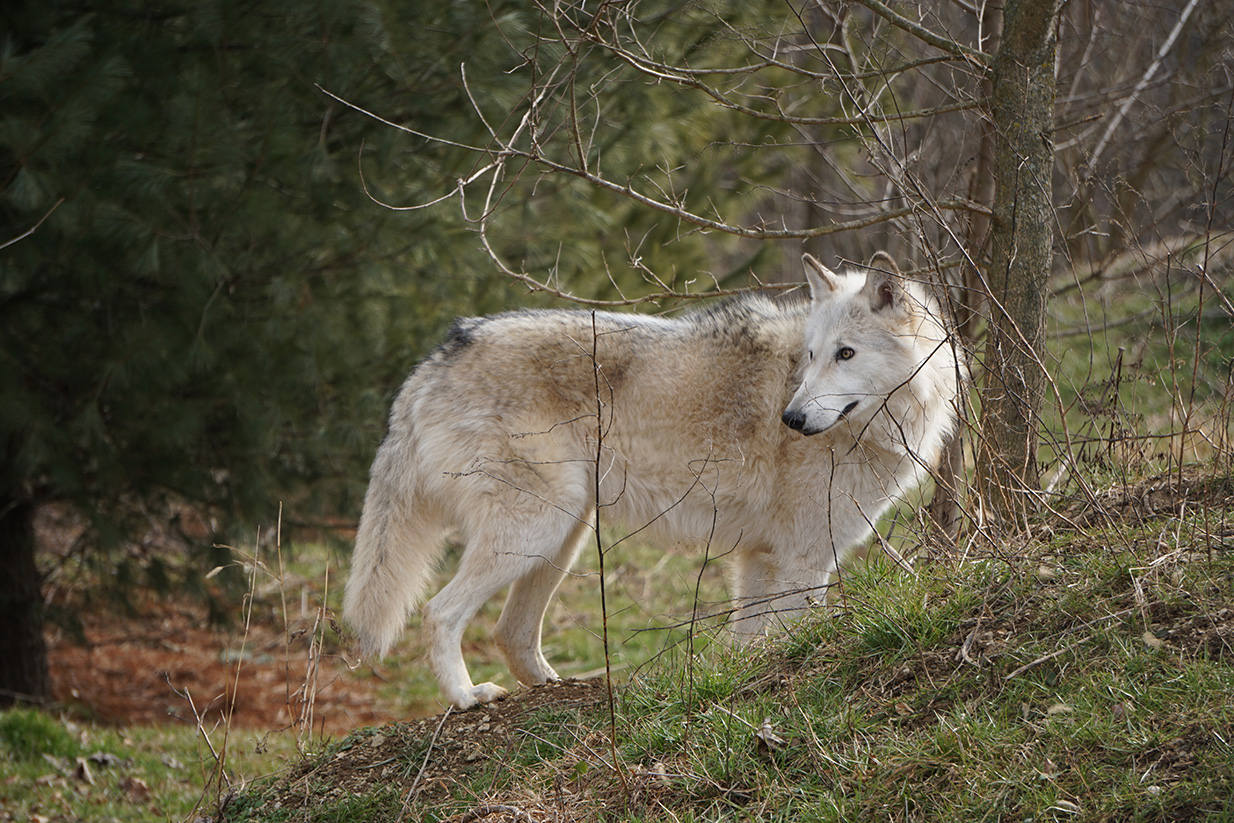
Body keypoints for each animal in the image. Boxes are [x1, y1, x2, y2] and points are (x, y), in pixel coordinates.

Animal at [343, 254, 962, 709]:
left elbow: (747, 643)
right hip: (534, 532)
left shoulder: (762, 558)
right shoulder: (804, 561)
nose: (790, 419)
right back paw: (467, 696)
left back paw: (557, 686)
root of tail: (439, 354)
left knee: (511, 633)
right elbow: (785, 640)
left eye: (845, 354)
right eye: (812, 357)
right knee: (440, 611)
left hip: (562, 536)